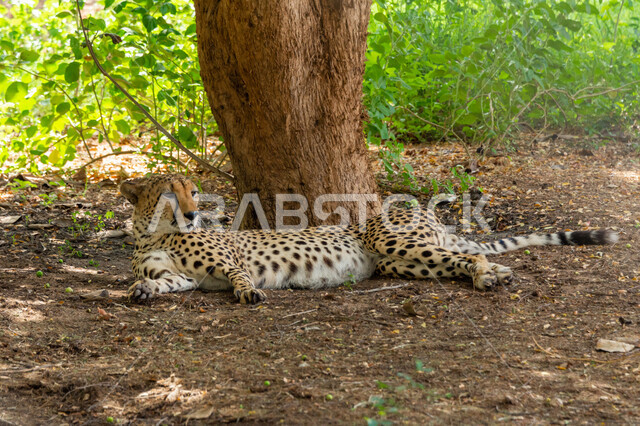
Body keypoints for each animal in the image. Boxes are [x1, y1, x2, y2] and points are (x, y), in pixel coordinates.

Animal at [120, 174, 618, 304]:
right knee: (457, 260)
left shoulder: (227, 264)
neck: (155, 234)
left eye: (193, 190)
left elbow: (240, 276)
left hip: (396, 243)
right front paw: (143, 289)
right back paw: (493, 272)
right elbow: (165, 282)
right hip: (405, 263)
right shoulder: (186, 279)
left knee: (465, 258)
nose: (193, 213)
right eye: (171, 191)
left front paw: (249, 293)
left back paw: (488, 275)